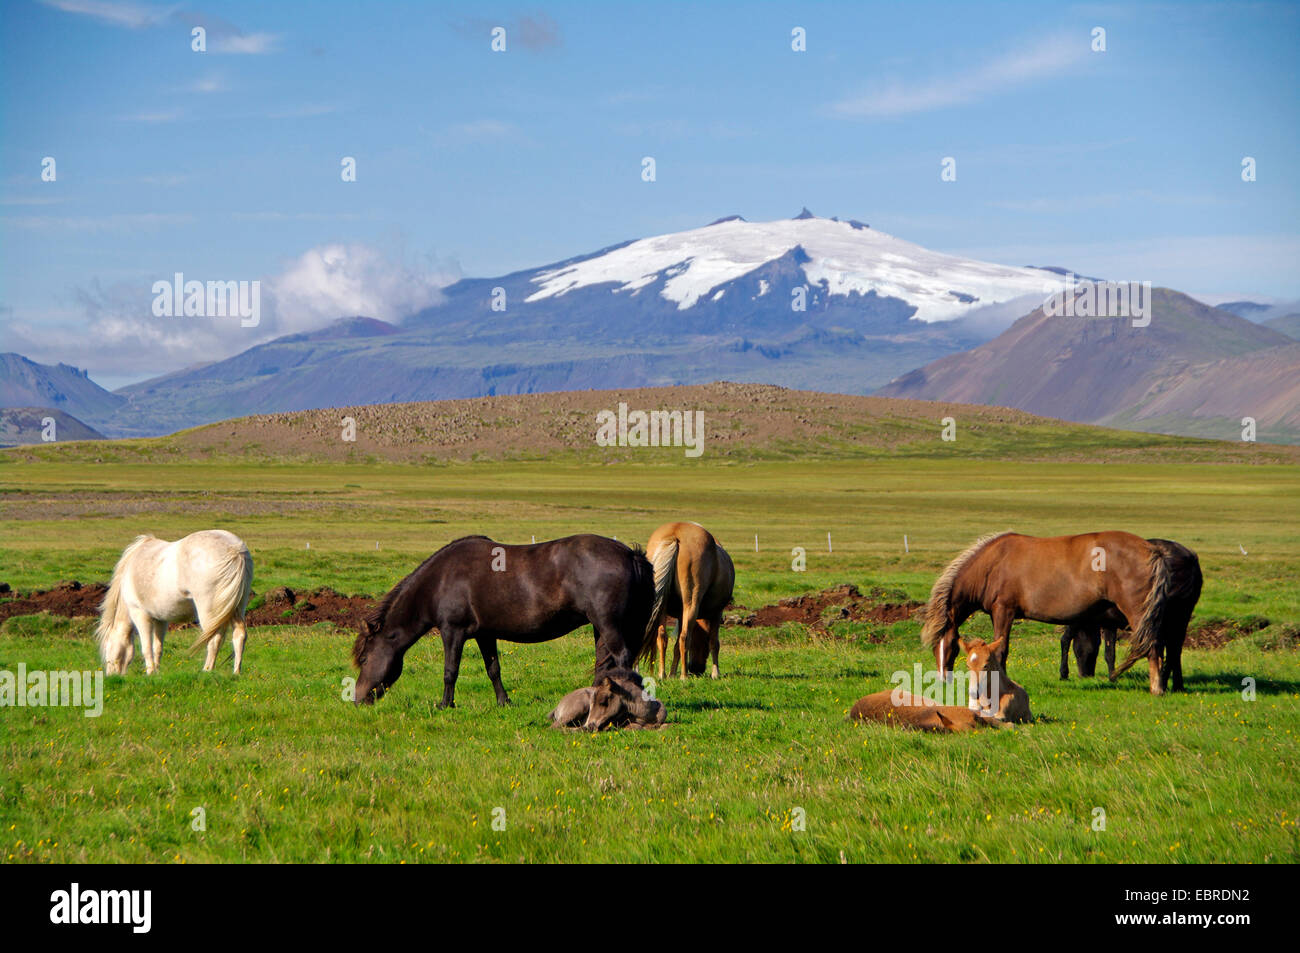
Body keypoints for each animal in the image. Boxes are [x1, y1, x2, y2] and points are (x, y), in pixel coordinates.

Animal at [96, 530, 254, 675]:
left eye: (108, 651)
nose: (111, 676)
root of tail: (235, 549)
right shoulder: (161, 619)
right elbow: (157, 647)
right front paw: (156, 673)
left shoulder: (140, 614)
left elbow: (146, 648)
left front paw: (150, 672)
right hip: (236, 608)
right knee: (239, 636)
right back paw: (236, 672)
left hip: (209, 612)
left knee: (214, 640)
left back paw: (207, 671)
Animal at [351, 534, 655, 706]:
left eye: (364, 659)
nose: (357, 699)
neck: (440, 581)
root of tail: (630, 554)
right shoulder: (485, 634)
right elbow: (493, 669)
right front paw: (503, 702)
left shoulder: (452, 631)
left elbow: (450, 671)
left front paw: (445, 705)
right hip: (601, 629)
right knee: (604, 663)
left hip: (609, 626)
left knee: (623, 659)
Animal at [645, 521, 735, 679]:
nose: (696, 669)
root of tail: (675, 532)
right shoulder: (717, 613)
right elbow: (714, 642)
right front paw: (715, 673)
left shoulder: (681, 616)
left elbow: (675, 647)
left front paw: (672, 674)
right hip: (691, 603)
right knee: (684, 637)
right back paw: (684, 676)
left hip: (662, 607)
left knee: (662, 636)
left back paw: (662, 674)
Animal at [920, 532, 1202, 695]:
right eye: (935, 648)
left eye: (951, 647)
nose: (941, 681)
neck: (992, 563)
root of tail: (1154, 551)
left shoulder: (1004, 611)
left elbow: (1001, 650)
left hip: (1141, 613)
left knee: (1154, 646)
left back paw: (1157, 688)